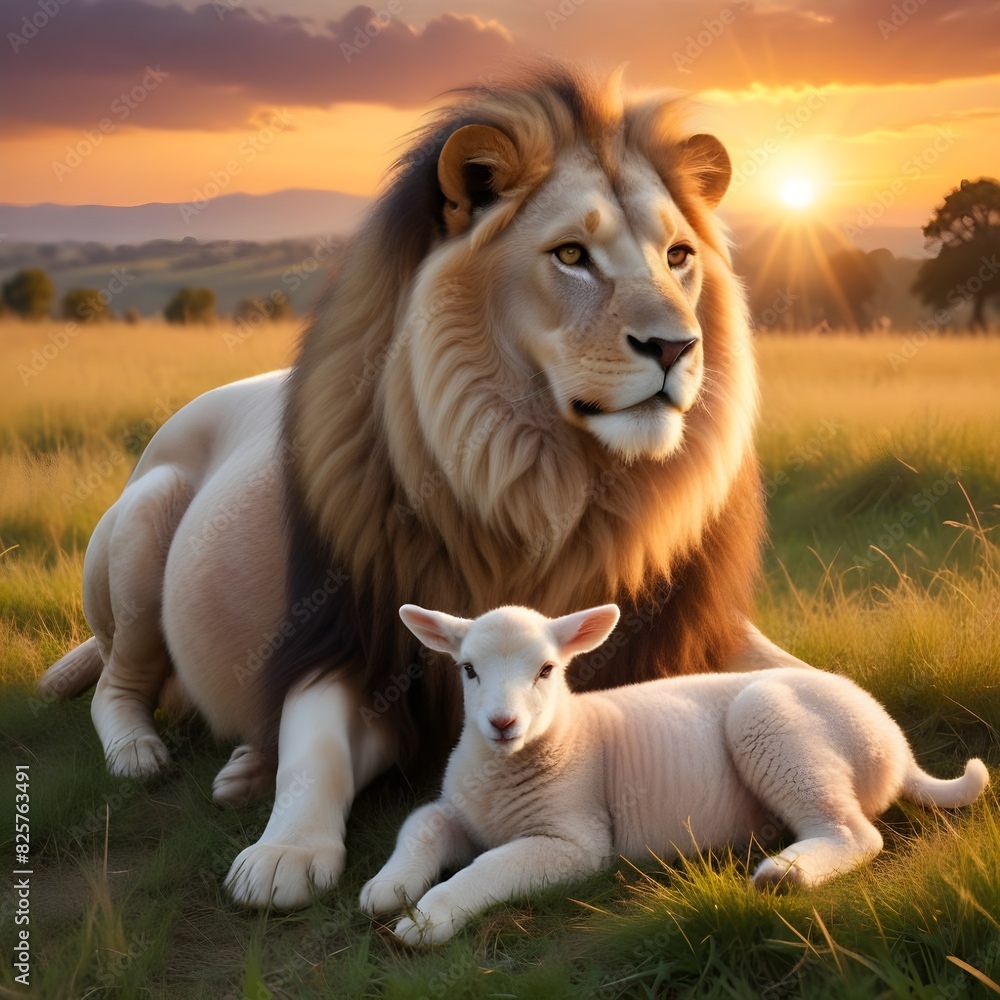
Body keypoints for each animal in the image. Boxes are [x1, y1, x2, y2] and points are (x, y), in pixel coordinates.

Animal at [38, 63, 814, 911]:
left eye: (677, 256)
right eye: (571, 254)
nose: (677, 346)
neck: (552, 491)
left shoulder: (693, 628)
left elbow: (808, 678)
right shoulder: (351, 634)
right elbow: (315, 748)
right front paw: (283, 854)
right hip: (146, 527)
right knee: (119, 684)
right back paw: (151, 754)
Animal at [360, 603, 990, 947]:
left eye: (547, 670)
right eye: (468, 669)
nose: (501, 723)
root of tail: (898, 746)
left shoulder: (575, 843)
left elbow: (490, 866)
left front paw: (429, 917)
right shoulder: (454, 809)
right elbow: (419, 826)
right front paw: (385, 888)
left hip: (772, 725)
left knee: (855, 833)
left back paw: (784, 874)